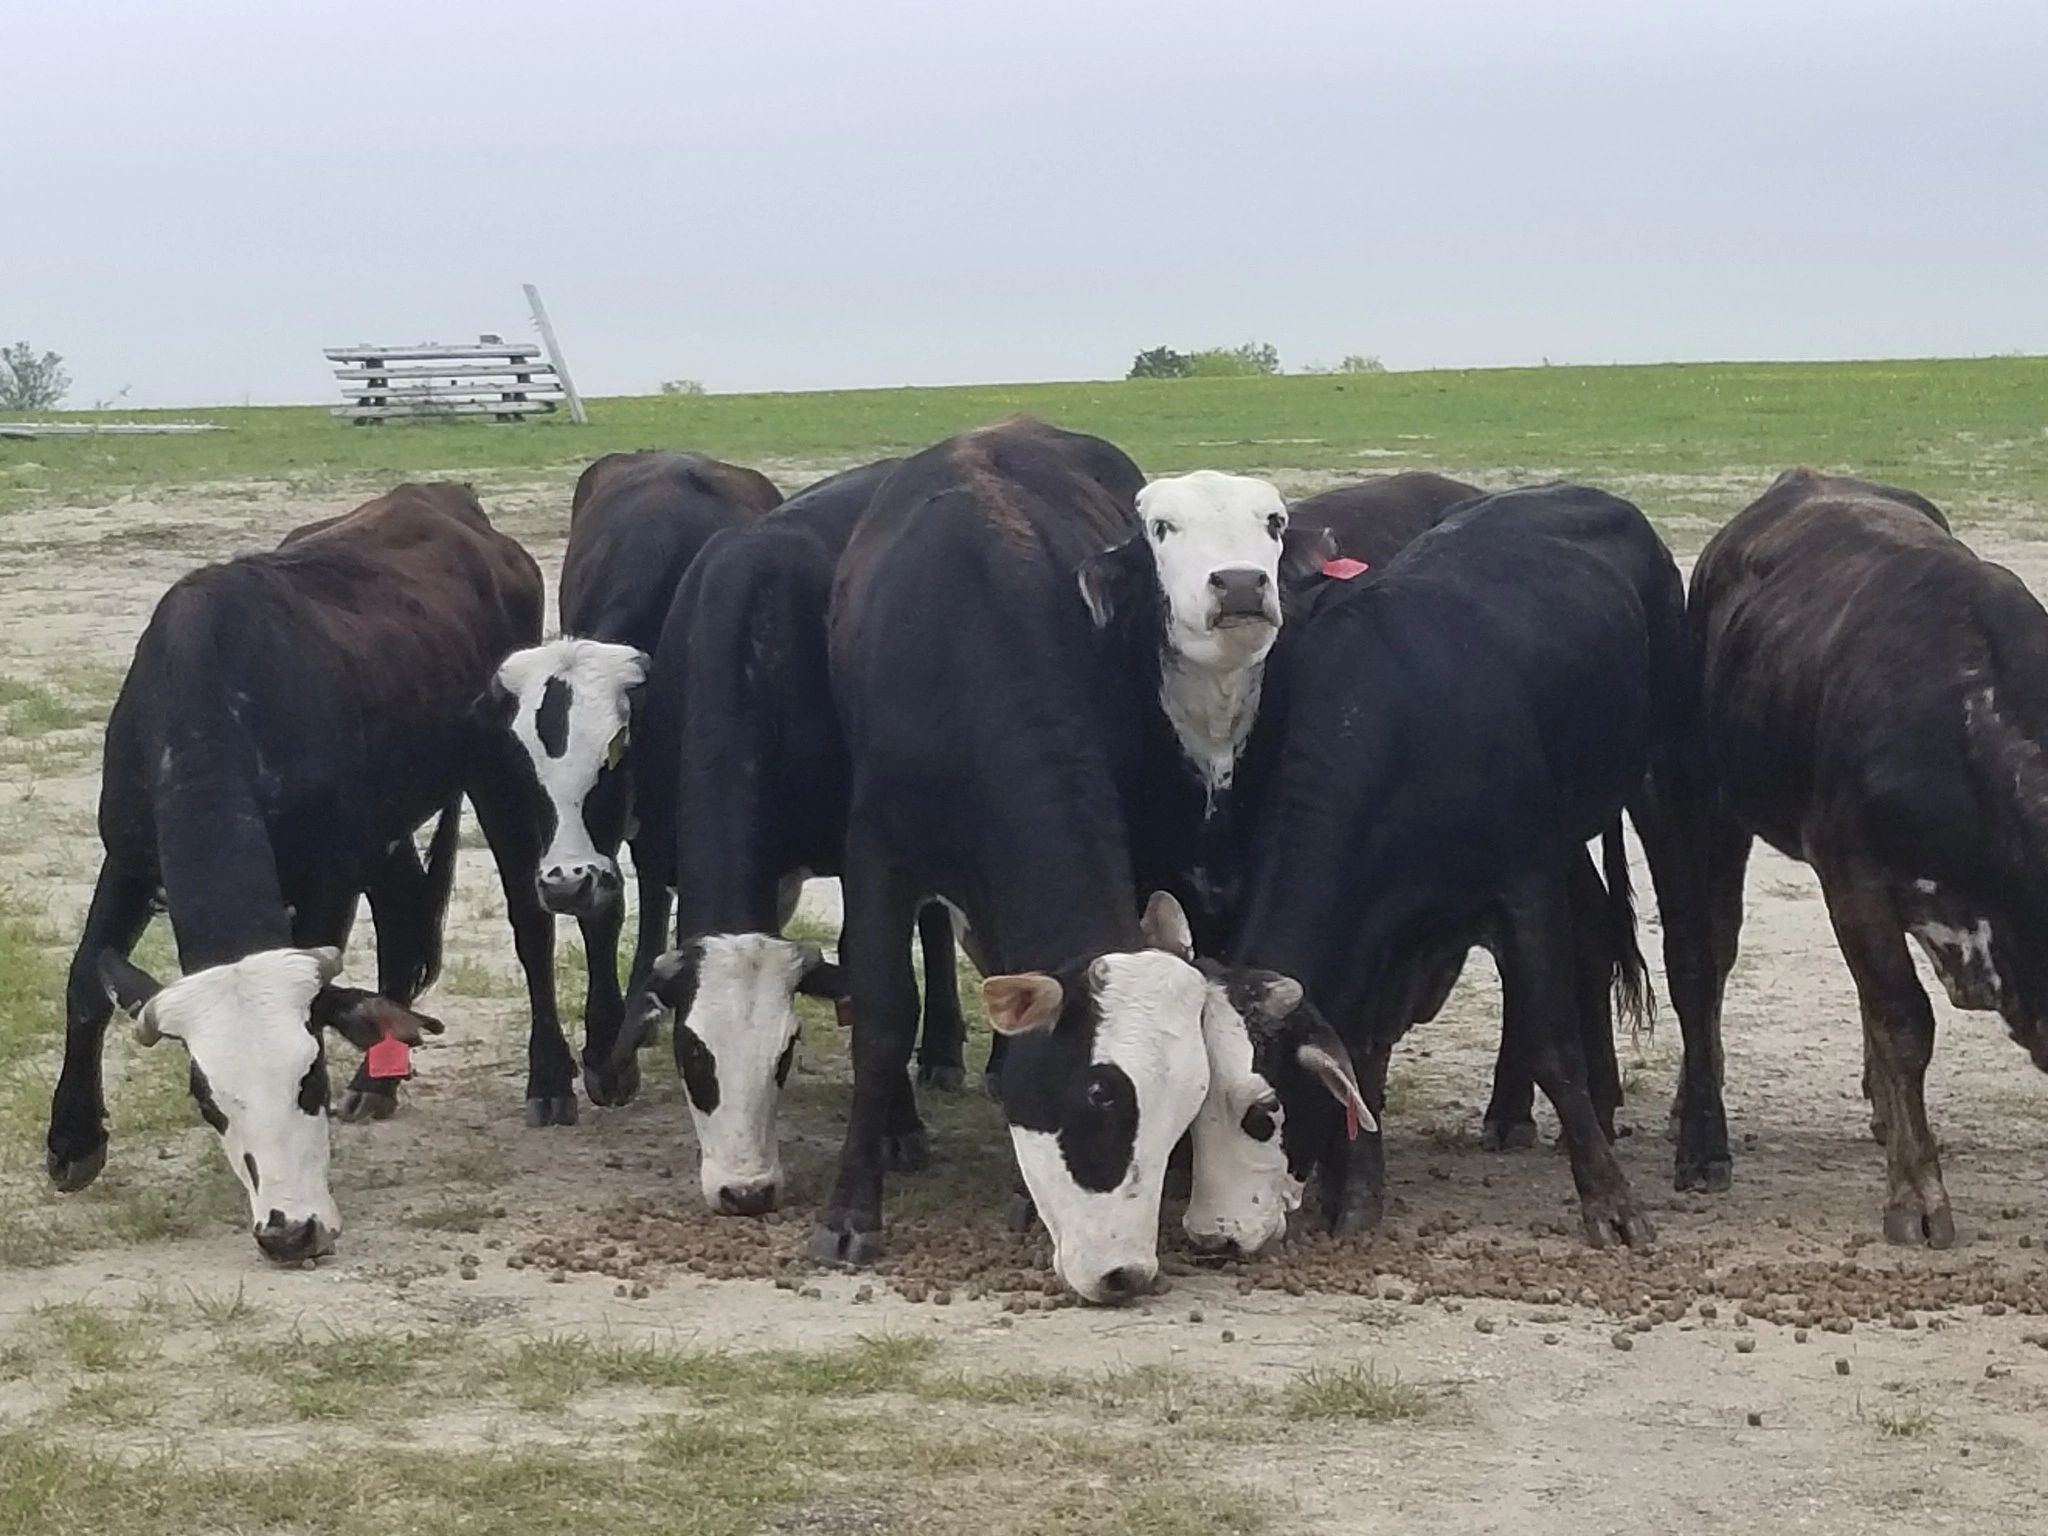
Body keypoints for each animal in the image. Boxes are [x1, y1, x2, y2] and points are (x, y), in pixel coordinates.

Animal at [46, 483, 559, 1260]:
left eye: (308, 1077)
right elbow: (84, 981)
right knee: (404, 923)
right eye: (206, 1098)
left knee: (529, 921)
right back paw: (378, 1084)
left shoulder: (326, 877)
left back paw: (551, 1081)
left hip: (498, 770)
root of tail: (449, 500)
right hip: (386, 827)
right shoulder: (128, 856)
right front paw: (72, 1139)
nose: (288, 1231)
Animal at [482, 452, 784, 1119]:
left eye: (616, 752)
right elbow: (587, 921)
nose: (564, 883)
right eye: (522, 766)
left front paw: (619, 1040)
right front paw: (570, 1066)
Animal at [818, 419, 1238, 1302]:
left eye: (1186, 1110)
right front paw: (850, 1212)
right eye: (1096, 1098)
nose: (1126, 1273)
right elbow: (881, 1018)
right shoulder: (875, 851)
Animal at [1182, 485, 1698, 1253]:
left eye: (1263, 1113)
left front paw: (1610, 1204)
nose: (1214, 1237)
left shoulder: (1523, 881)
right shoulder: (1385, 927)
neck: (1386, 720)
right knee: (1592, 929)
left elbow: (1553, 1044)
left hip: (1645, 781)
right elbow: (1363, 1049)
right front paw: (1356, 1194)